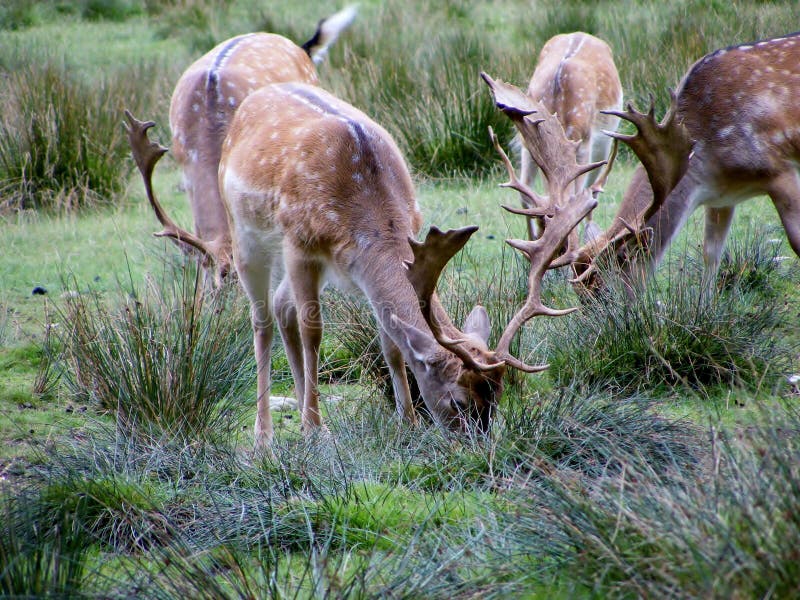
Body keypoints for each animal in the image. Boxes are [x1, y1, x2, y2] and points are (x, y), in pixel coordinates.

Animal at [125, 74, 603, 449]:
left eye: (498, 398)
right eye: (459, 400)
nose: (480, 447)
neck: (367, 218)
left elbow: (390, 340)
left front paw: (407, 423)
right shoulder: (300, 244)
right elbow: (314, 330)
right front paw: (312, 429)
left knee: (281, 308)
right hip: (248, 236)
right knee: (263, 319)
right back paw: (267, 435)